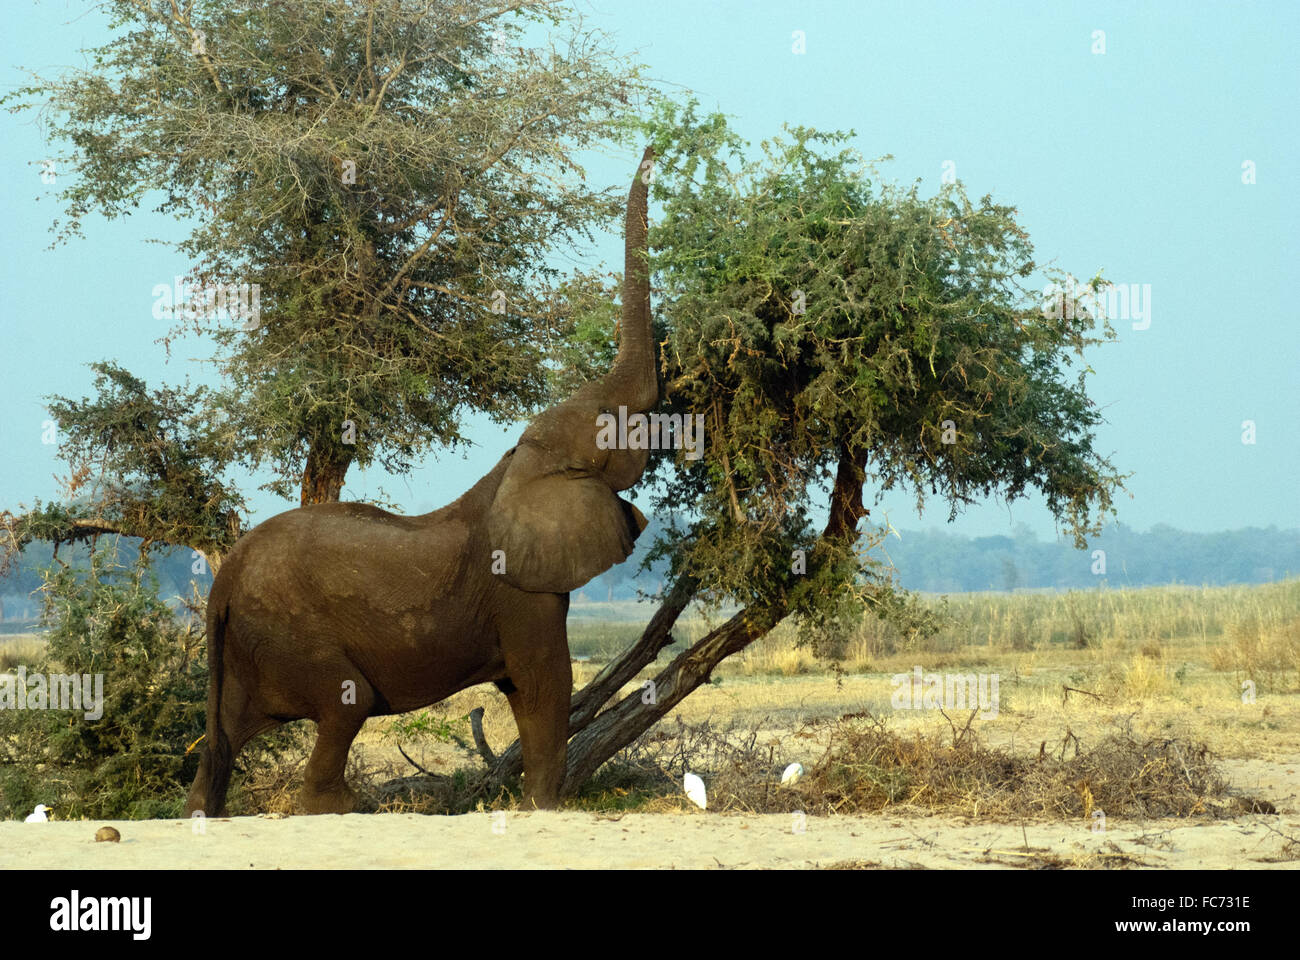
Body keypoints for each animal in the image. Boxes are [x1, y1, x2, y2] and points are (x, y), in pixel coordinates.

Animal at [184, 145, 657, 816]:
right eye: (614, 430)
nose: (652, 151)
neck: (518, 467)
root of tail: (224, 579)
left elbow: (527, 690)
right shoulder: (520, 591)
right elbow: (543, 684)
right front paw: (543, 806)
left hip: (245, 647)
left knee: (222, 736)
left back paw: (204, 812)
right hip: (289, 632)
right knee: (346, 699)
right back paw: (341, 808)